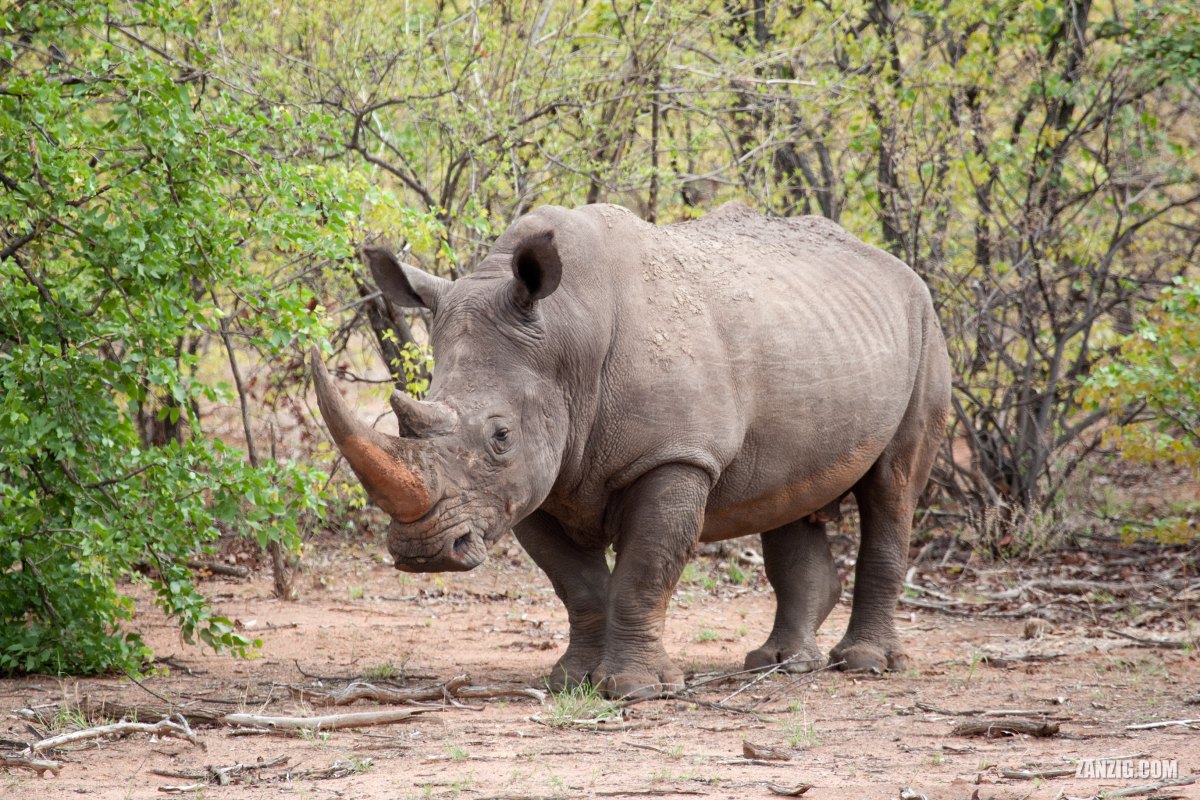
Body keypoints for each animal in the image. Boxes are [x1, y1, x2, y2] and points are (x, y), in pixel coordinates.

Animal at [312, 202, 951, 699]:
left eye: (500, 437)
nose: (425, 552)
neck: (566, 336)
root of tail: (894, 265)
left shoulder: (675, 455)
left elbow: (646, 569)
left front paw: (636, 689)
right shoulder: (537, 479)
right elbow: (578, 584)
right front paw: (571, 681)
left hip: (924, 324)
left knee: (892, 488)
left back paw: (865, 665)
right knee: (789, 498)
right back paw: (781, 664)